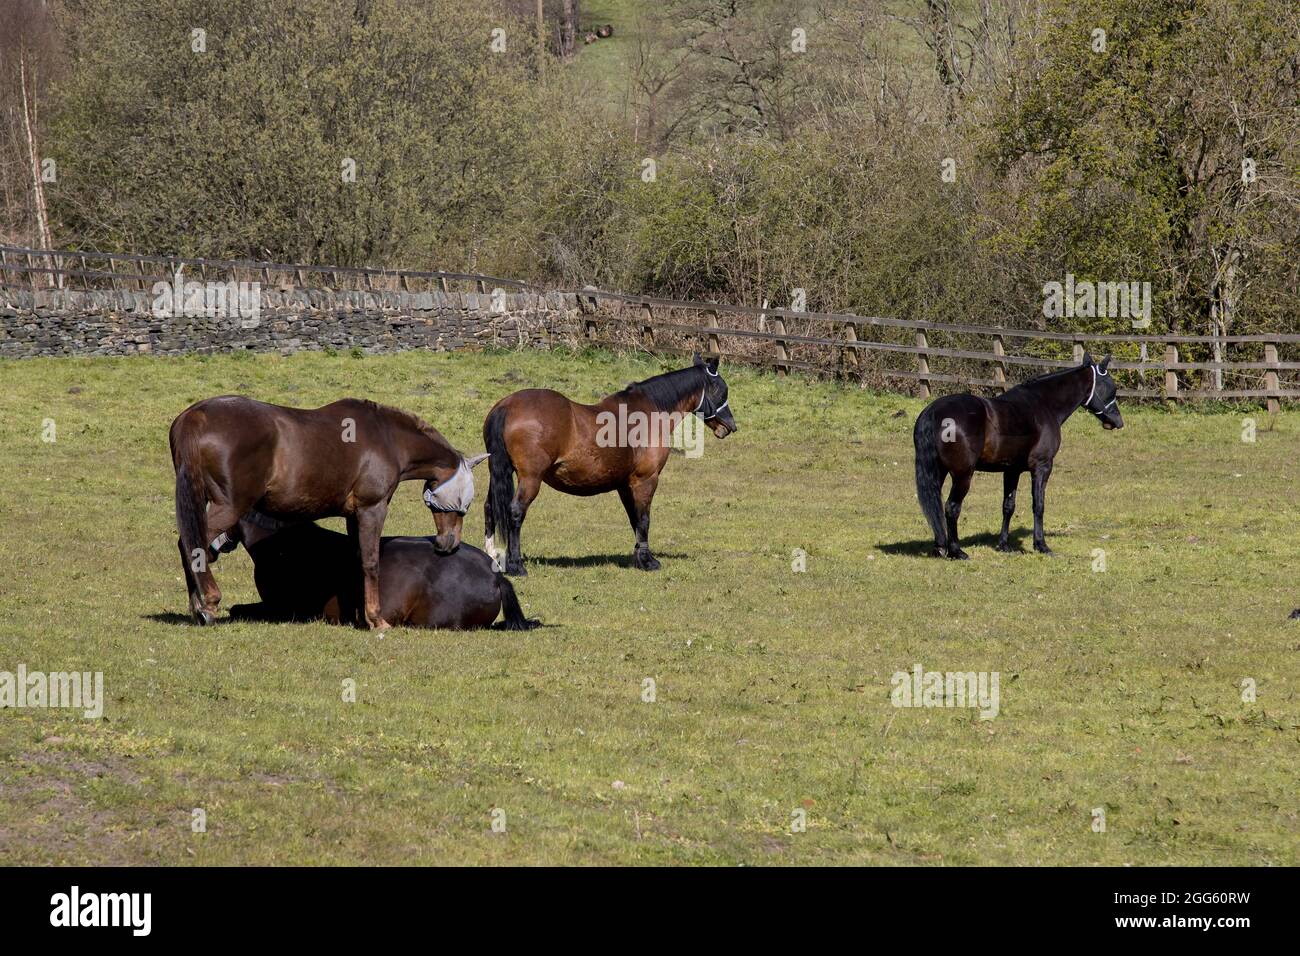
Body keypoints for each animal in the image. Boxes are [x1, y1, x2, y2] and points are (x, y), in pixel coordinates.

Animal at [169, 395, 488, 628]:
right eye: (465, 504)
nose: (449, 543)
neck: (388, 439)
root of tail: (196, 415)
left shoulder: (352, 515)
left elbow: (356, 559)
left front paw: (360, 614)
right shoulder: (372, 509)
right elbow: (371, 562)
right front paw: (376, 619)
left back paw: (197, 608)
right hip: (229, 506)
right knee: (192, 544)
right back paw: (208, 602)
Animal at [481, 352, 738, 575]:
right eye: (721, 389)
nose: (731, 426)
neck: (648, 413)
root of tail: (507, 406)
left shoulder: (624, 485)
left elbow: (634, 519)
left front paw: (640, 558)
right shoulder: (646, 480)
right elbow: (644, 518)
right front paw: (648, 561)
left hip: (498, 472)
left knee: (490, 508)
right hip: (530, 479)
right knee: (515, 511)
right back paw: (516, 565)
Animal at [912, 353, 1123, 559]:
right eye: (1111, 387)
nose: (1118, 422)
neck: (1043, 405)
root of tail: (933, 411)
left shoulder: (1012, 470)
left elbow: (1008, 505)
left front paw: (1004, 545)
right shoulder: (1042, 467)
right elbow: (1038, 505)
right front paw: (1041, 545)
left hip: (938, 472)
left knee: (936, 506)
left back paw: (940, 548)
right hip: (963, 475)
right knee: (952, 507)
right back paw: (956, 551)